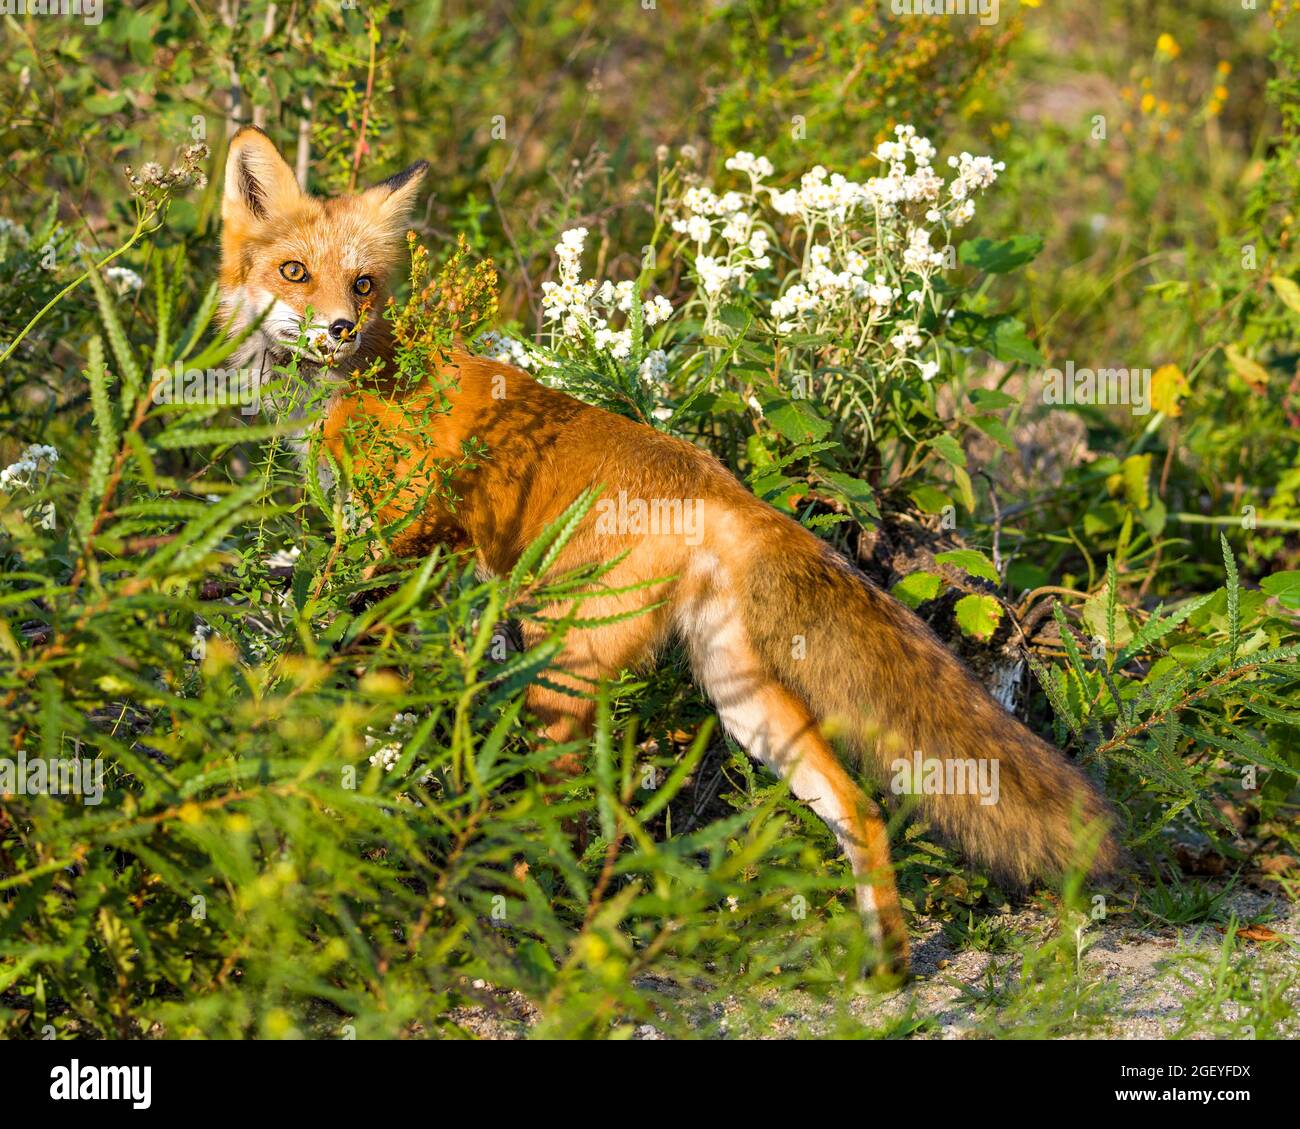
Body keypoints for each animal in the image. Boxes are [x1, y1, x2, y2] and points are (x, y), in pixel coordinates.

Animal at [218, 126, 1118, 979]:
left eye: (362, 283)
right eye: (296, 272)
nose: (339, 328)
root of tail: (724, 488)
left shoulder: (407, 534)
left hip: (564, 666)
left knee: (566, 809)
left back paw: (513, 918)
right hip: (744, 703)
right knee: (859, 810)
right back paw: (886, 974)